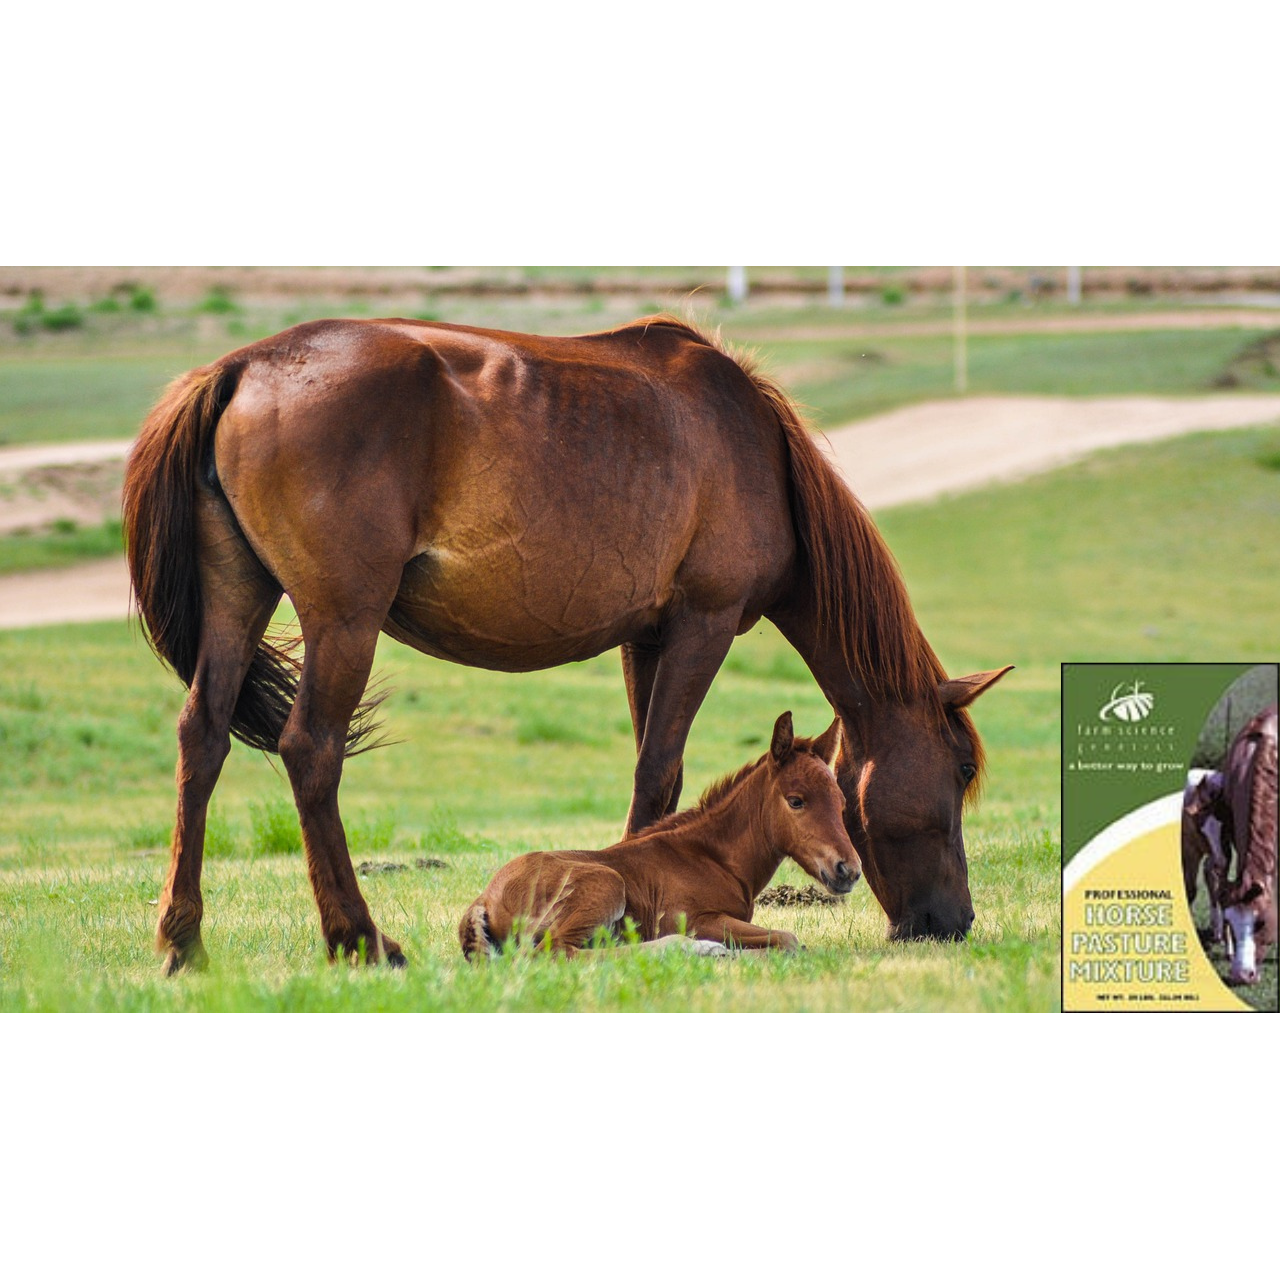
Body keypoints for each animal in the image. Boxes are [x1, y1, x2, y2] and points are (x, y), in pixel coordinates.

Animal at [459, 712, 858, 959]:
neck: (713, 858)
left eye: (841, 803)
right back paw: (693, 949)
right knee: (559, 952)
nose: (849, 871)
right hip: (606, 884)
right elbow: (788, 940)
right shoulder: (694, 918)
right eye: (796, 801)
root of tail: (483, 899)